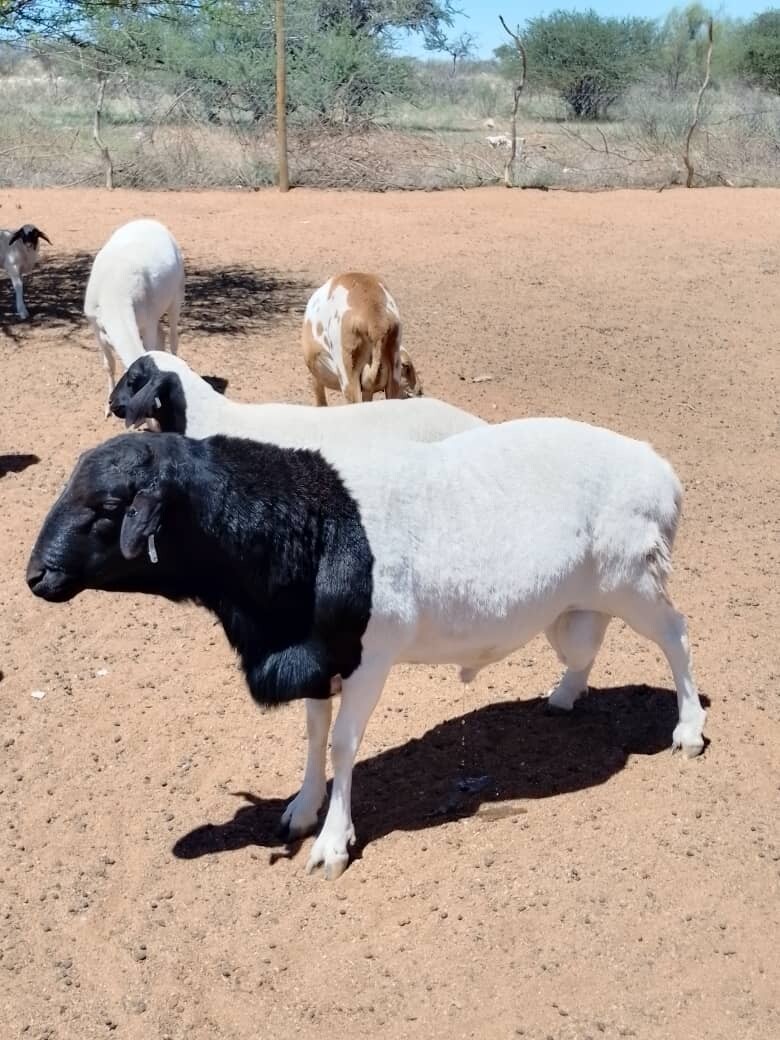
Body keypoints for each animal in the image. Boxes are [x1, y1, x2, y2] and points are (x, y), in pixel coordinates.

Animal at [27, 418, 707, 880]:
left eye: (109, 506)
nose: (37, 576)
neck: (305, 524)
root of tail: (659, 469)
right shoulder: (316, 653)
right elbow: (312, 735)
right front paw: (303, 809)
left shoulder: (369, 657)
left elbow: (343, 744)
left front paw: (332, 841)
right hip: (585, 597)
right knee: (588, 642)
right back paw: (566, 693)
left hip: (635, 581)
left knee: (676, 634)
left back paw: (688, 728)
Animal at [84, 219, 185, 417]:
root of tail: (152, 222)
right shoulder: (96, 327)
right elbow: (109, 364)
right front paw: (107, 409)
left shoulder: (148, 323)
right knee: (163, 333)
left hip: (176, 295)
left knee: (173, 337)